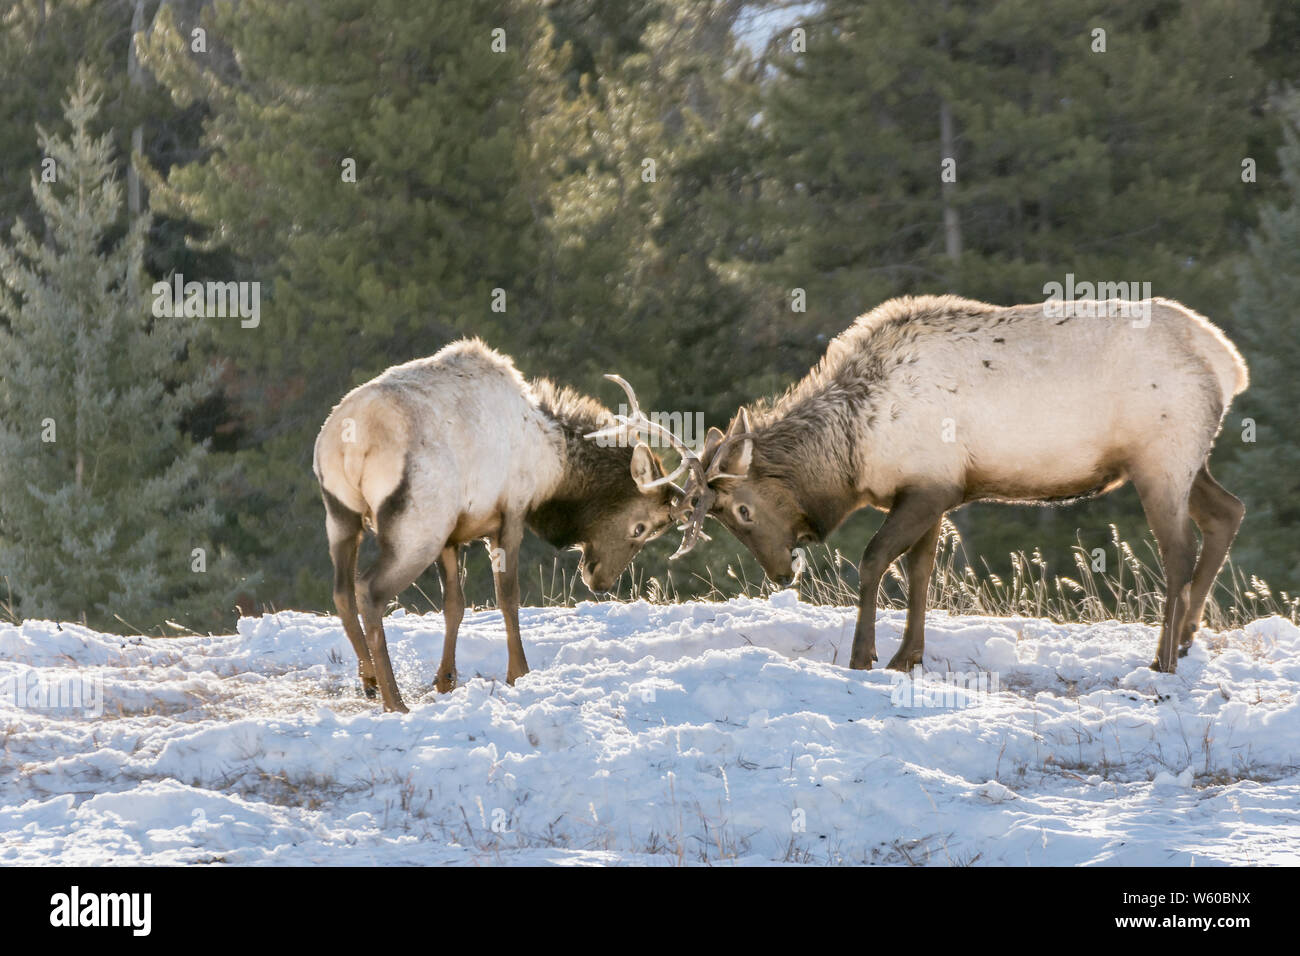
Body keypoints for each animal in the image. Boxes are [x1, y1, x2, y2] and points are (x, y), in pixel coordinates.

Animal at [313, 339, 684, 713]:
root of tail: (349, 443)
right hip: (418, 529)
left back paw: (370, 679)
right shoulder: (512, 511)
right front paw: (518, 673)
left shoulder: (454, 535)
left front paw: (446, 680)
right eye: (640, 527)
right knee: (368, 590)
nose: (600, 582)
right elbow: (507, 596)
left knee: (342, 591)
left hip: (341, 514)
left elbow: (455, 606)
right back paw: (395, 701)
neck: (553, 464)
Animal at [670, 294, 1249, 675]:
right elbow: (920, 571)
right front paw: (908, 656)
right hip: (1184, 461)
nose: (779, 572)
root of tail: (1229, 362)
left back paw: (1162, 658)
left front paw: (864, 655)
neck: (854, 450)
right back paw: (1187, 640)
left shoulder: (930, 487)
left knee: (1179, 549)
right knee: (1228, 511)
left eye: (743, 511)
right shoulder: (931, 490)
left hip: (1162, 456)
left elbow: (875, 560)